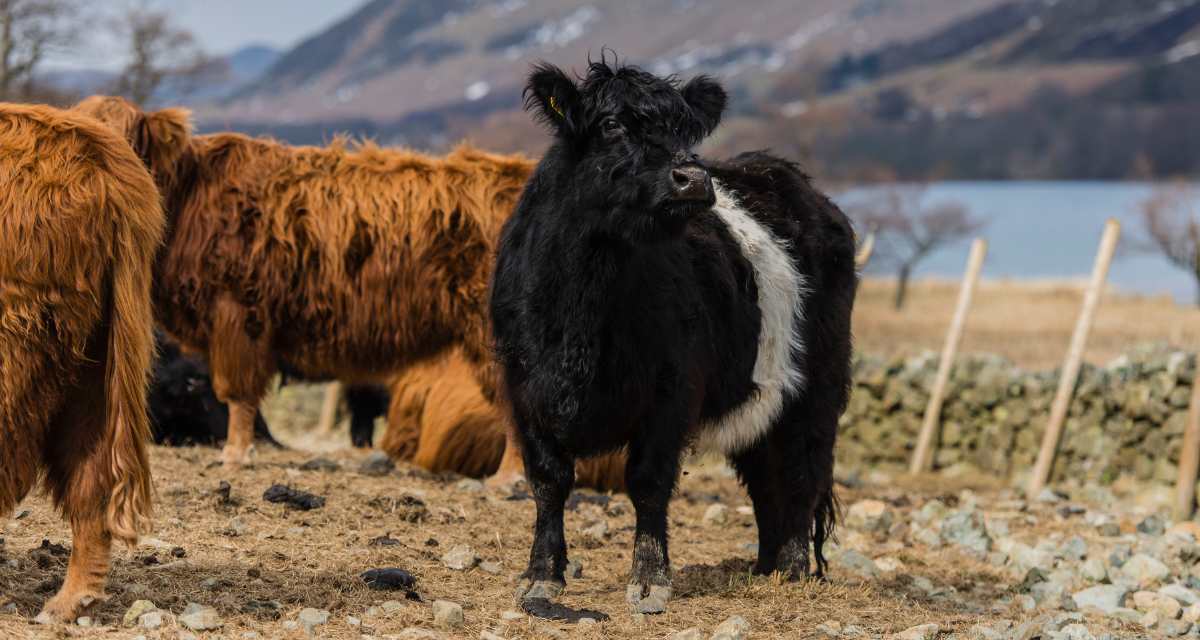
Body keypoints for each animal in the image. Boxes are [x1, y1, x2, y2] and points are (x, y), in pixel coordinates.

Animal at [490, 58, 858, 613]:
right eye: (611, 125)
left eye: (685, 131)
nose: (692, 178)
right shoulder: (526, 391)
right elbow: (549, 483)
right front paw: (541, 576)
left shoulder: (671, 393)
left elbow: (647, 481)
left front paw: (649, 581)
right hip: (761, 399)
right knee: (765, 480)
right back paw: (764, 568)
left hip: (817, 388)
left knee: (801, 472)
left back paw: (792, 570)